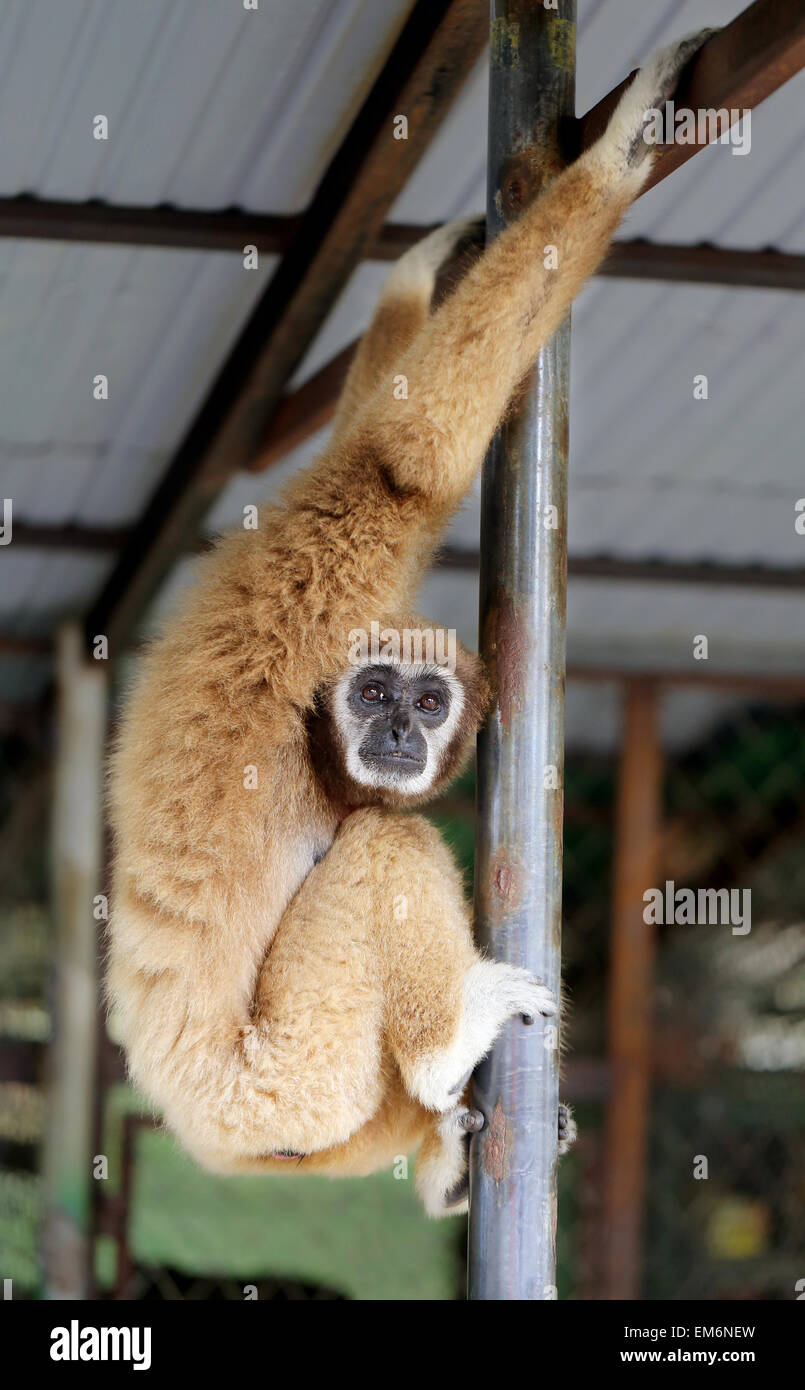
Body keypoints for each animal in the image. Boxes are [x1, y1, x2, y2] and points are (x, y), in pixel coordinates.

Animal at [107, 31, 715, 1216]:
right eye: (377, 692)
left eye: (428, 702)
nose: (395, 731)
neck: (312, 749)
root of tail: (197, 1124)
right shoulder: (302, 582)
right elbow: (406, 458)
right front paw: (616, 160)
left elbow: (378, 421)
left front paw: (415, 272)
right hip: (294, 1082)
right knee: (390, 843)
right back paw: (446, 1053)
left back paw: (447, 1165)